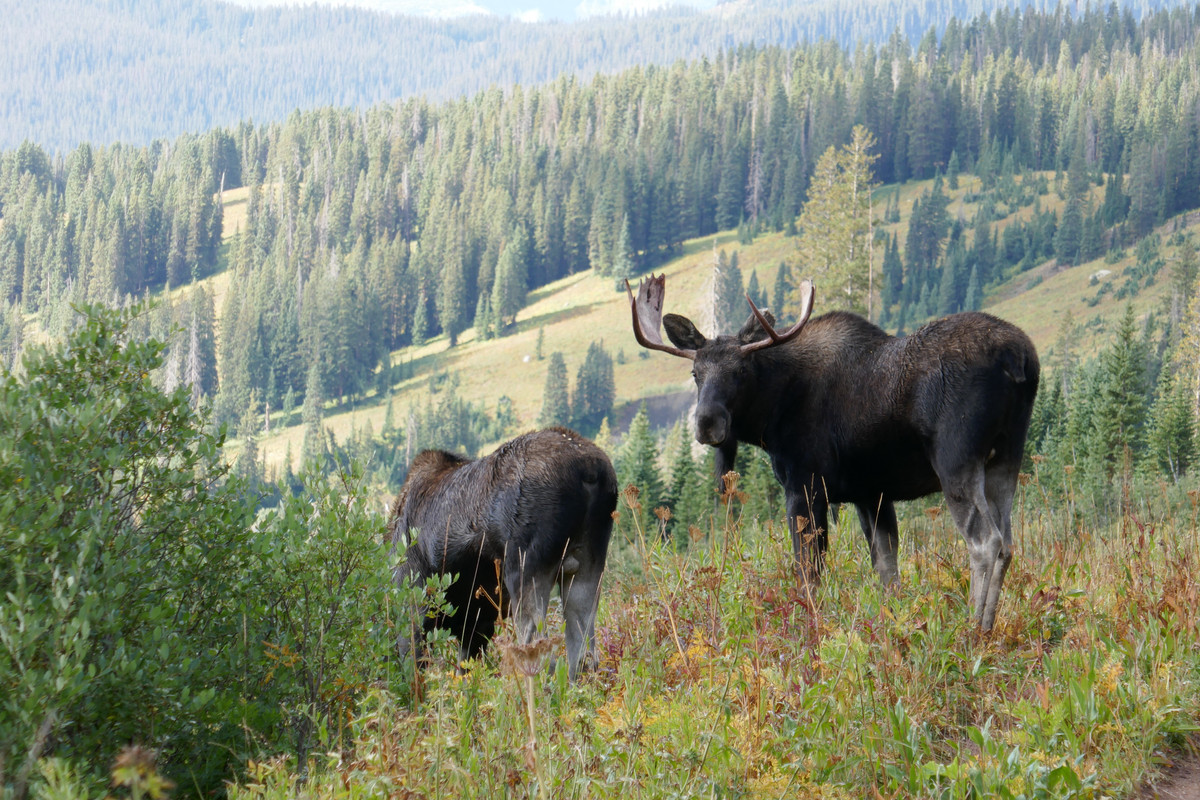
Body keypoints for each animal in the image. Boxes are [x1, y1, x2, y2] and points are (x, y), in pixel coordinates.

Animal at [387, 427, 618, 679]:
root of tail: (589, 471)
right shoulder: (477, 621)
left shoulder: (414, 601)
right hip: (588, 564)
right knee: (585, 653)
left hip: (523, 566)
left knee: (542, 652)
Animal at [627, 274, 1039, 631]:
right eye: (695, 373)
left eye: (740, 371)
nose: (706, 422)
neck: (772, 416)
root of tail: (1021, 358)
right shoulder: (870, 493)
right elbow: (887, 570)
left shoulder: (805, 486)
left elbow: (809, 572)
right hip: (1006, 457)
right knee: (1007, 542)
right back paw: (988, 626)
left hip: (956, 460)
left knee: (985, 542)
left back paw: (972, 626)